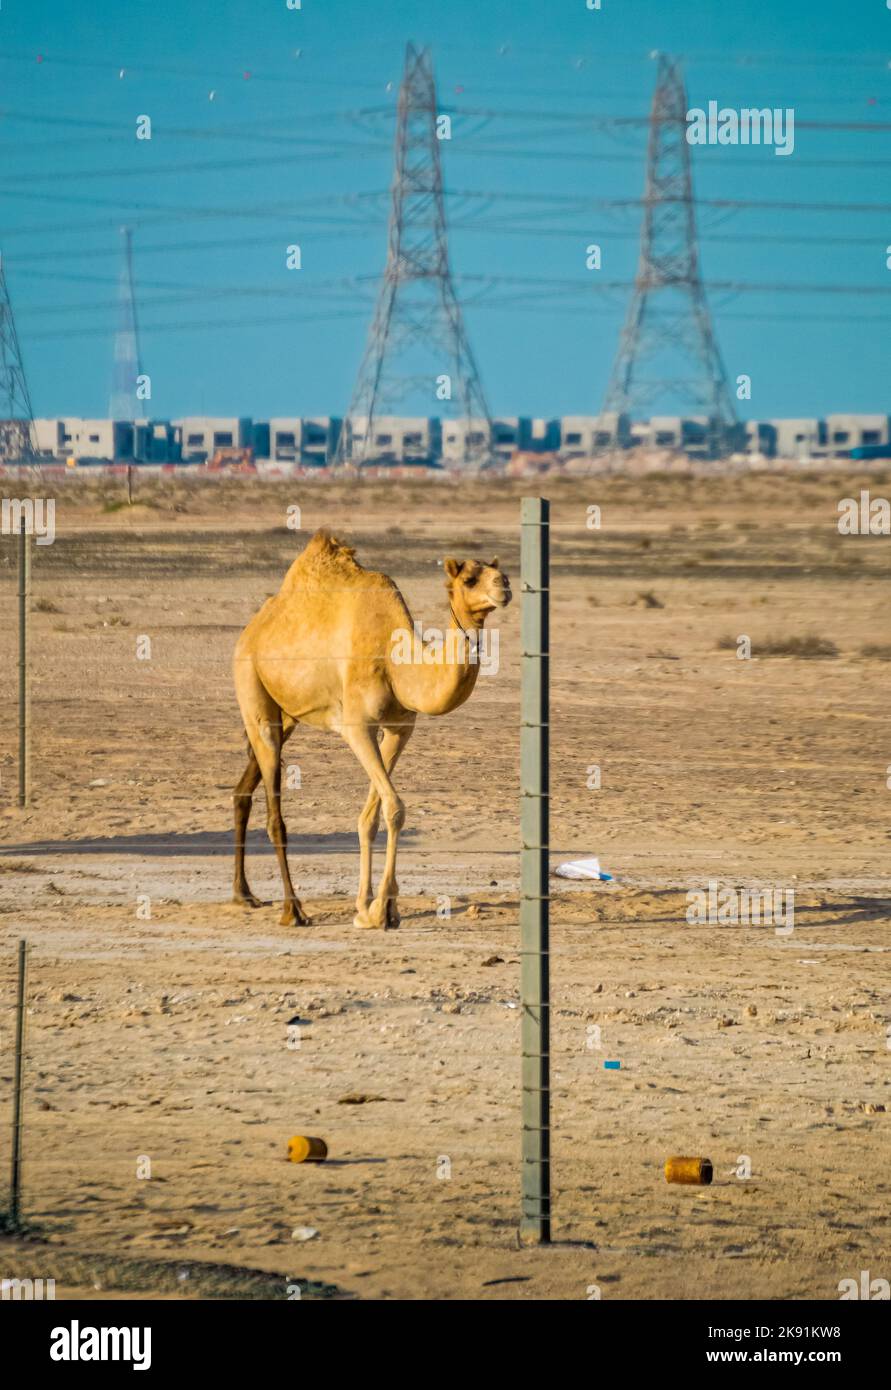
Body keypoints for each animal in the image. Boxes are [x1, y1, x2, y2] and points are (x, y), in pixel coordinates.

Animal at [232, 529, 512, 928]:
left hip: (287, 716)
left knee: (243, 789)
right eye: (470, 579)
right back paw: (293, 910)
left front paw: (370, 907)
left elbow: (371, 817)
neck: (398, 664)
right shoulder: (357, 726)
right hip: (251, 686)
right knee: (274, 814)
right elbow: (394, 808)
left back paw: (244, 893)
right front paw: (380, 911)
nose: (505, 586)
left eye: (497, 572)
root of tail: (253, 629)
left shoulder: (399, 729)